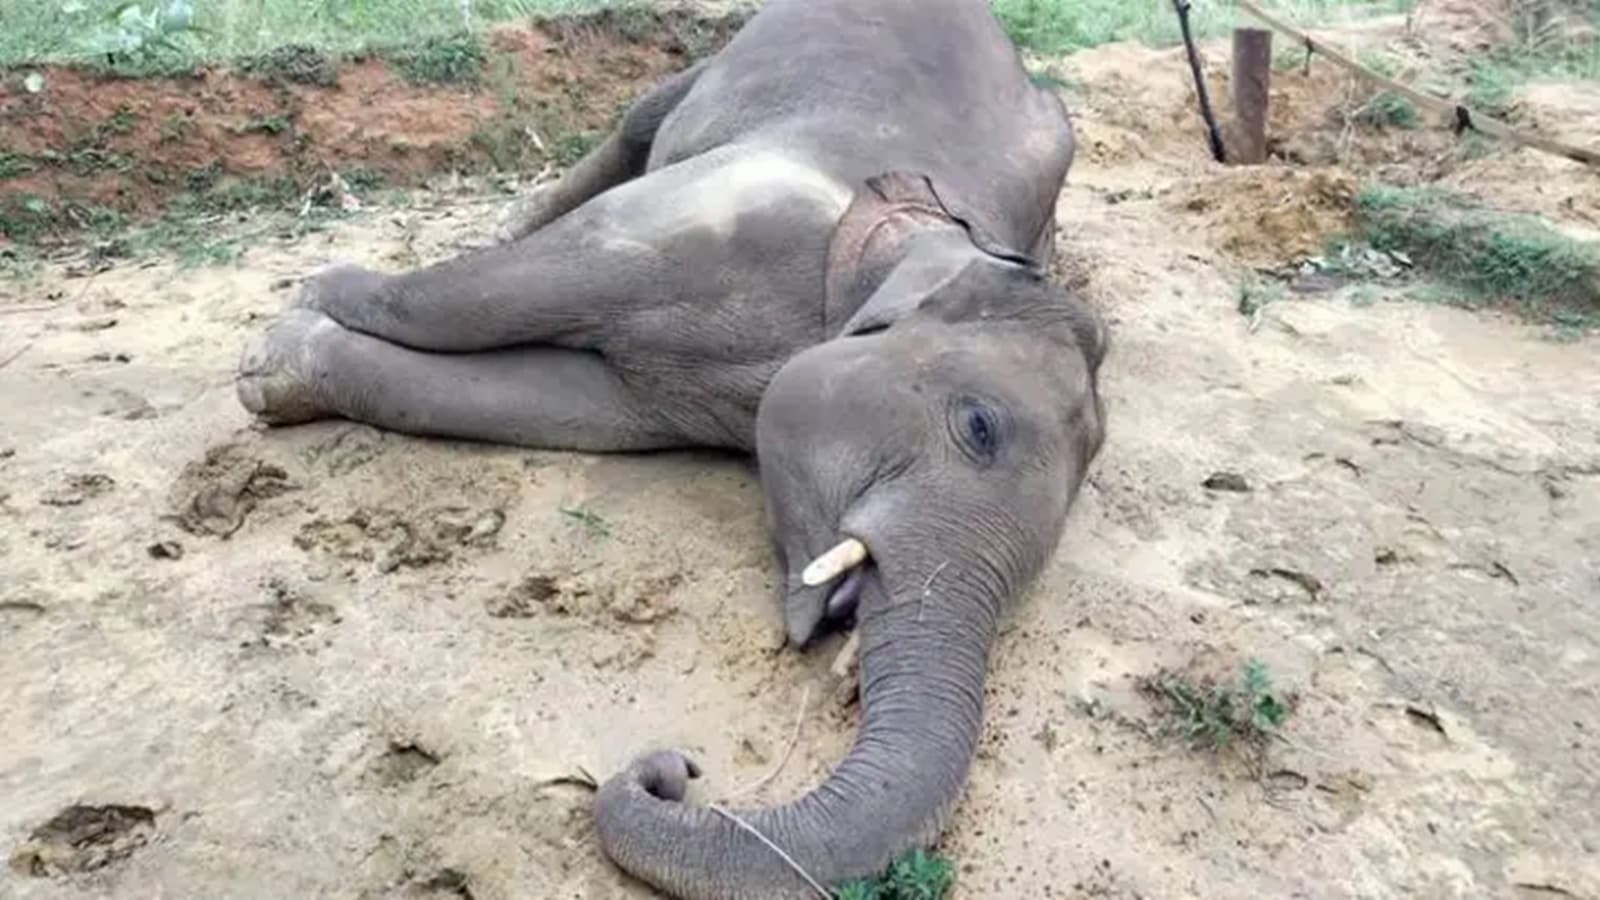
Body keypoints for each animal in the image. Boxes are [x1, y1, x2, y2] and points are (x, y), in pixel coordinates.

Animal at [235, 0, 1109, 896]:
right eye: (979, 427)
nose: (674, 770)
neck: (944, 231)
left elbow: (565, 404)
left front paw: (282, 363)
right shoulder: (733, 214)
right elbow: (494, 293)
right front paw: (299, 316)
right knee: (639, 119)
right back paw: (507, 220)